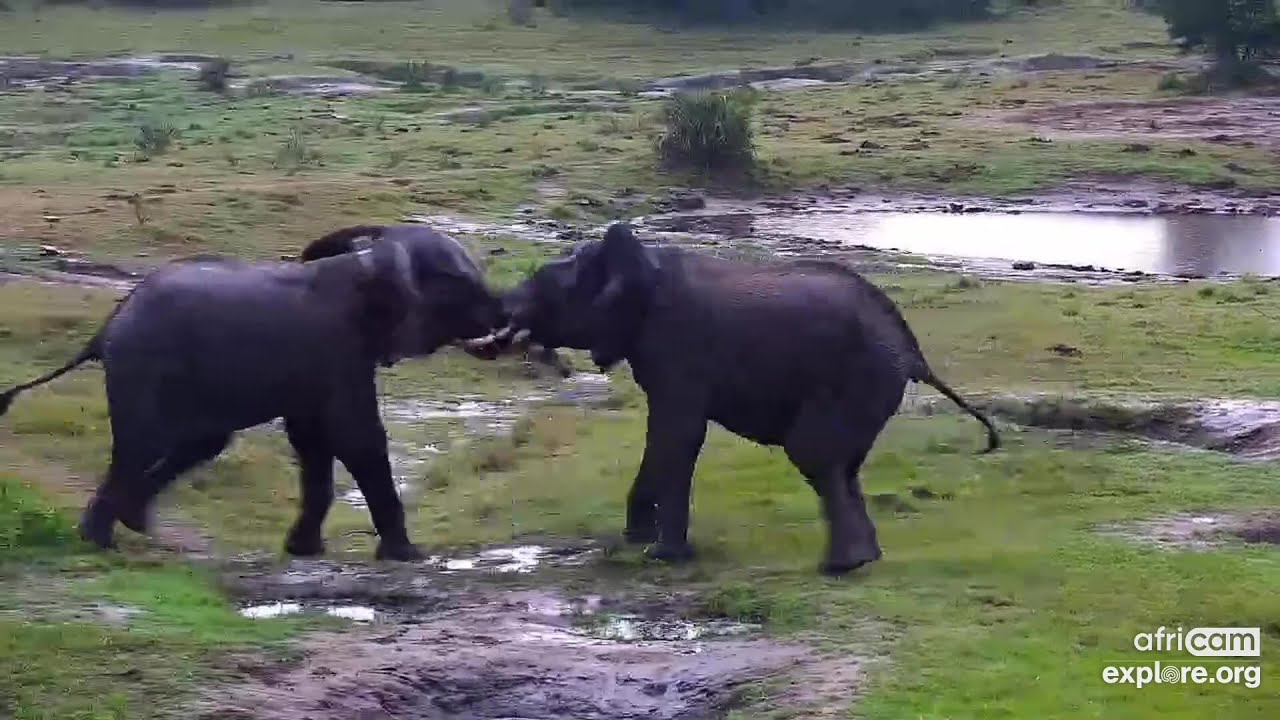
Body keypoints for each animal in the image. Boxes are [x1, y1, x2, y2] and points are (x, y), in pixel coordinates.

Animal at [0, 224, 506, 561]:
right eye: (463, 285)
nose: (504, 315)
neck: (369, 262)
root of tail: (108, 325)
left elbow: (313, 440)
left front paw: (303, 551)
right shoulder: (337, 348)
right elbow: (356, 436)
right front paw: (409, 556)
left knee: (198, 444)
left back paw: (132, 523)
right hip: (144, 365)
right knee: (142, 443)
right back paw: (100, 541)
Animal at [469, 222, 1000, 575]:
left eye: (546, 285)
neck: (644, 260)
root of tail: (914, 352)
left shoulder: (679, 342)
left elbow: (678, 432)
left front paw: (660, 557)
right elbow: (662, 434)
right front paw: (634, 542)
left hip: (859, 376)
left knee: (813, 453)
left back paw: (839, 567)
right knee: (841, 465)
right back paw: (862, 559)